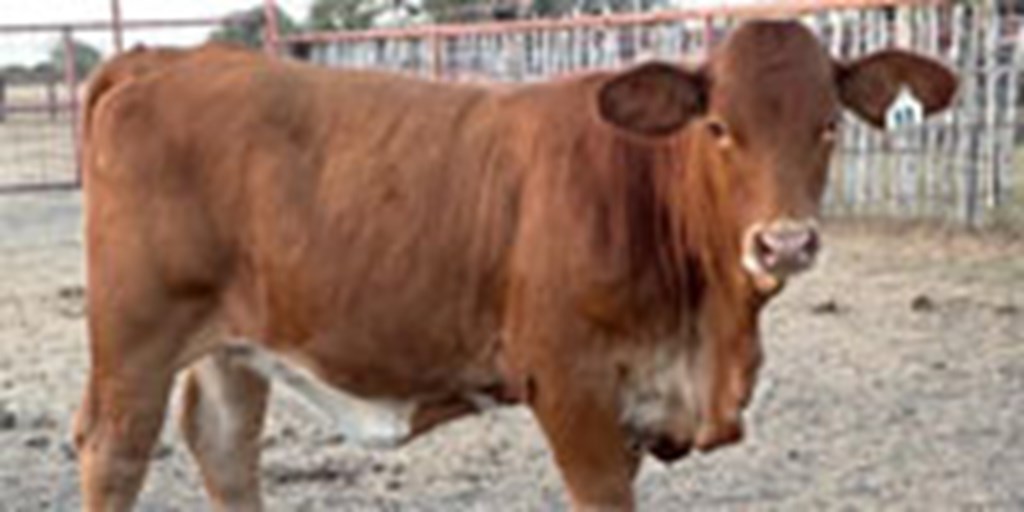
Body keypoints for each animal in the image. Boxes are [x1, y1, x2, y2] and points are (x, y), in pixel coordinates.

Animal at [75, 20, 956, 511]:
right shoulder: (572, 392)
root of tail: (163, 60)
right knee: (115, 453)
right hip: (136, 339)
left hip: (231, 345)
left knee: (225, 448)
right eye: (718, 127)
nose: (784, 243)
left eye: (828, 124)